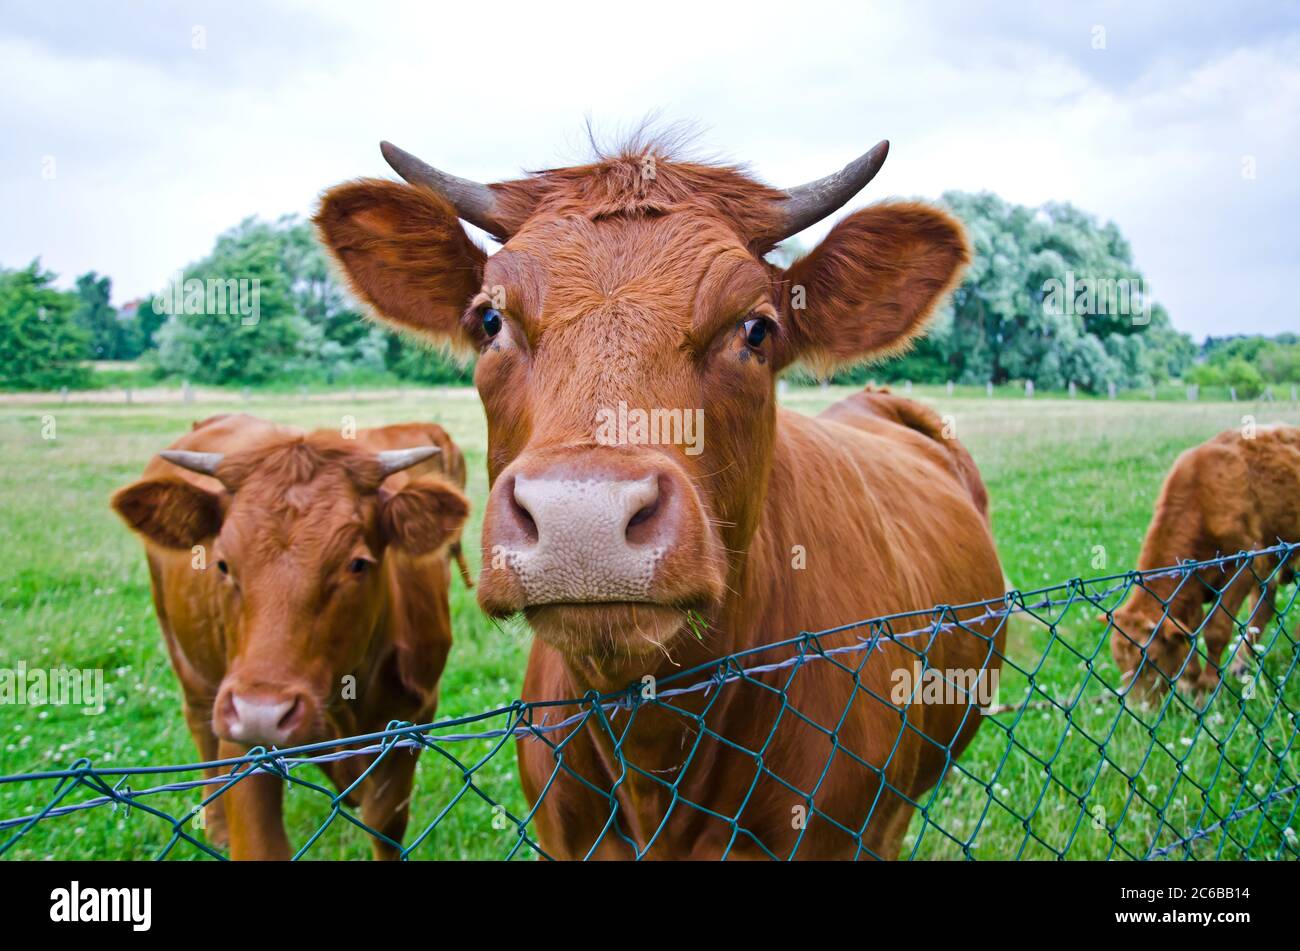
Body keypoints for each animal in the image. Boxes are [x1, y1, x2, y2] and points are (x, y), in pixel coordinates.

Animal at [110, 413, 471, 859]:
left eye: (357, 563)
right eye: (223, 564)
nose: (261, 712)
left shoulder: (411, 720)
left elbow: (385, 822)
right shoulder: (242, 740)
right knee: (198, 718)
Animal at [1111, 424, 1300, 697]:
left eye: (1151, 661)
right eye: (1119, 662)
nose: (1140, 706)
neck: (1201, 497)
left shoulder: (1243, 569)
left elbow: (1216, 630)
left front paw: (1209, 683)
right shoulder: (1193, 587)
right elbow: (1189, 632)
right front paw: (1191, 682)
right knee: (1264, 604)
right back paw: (1242, 664)